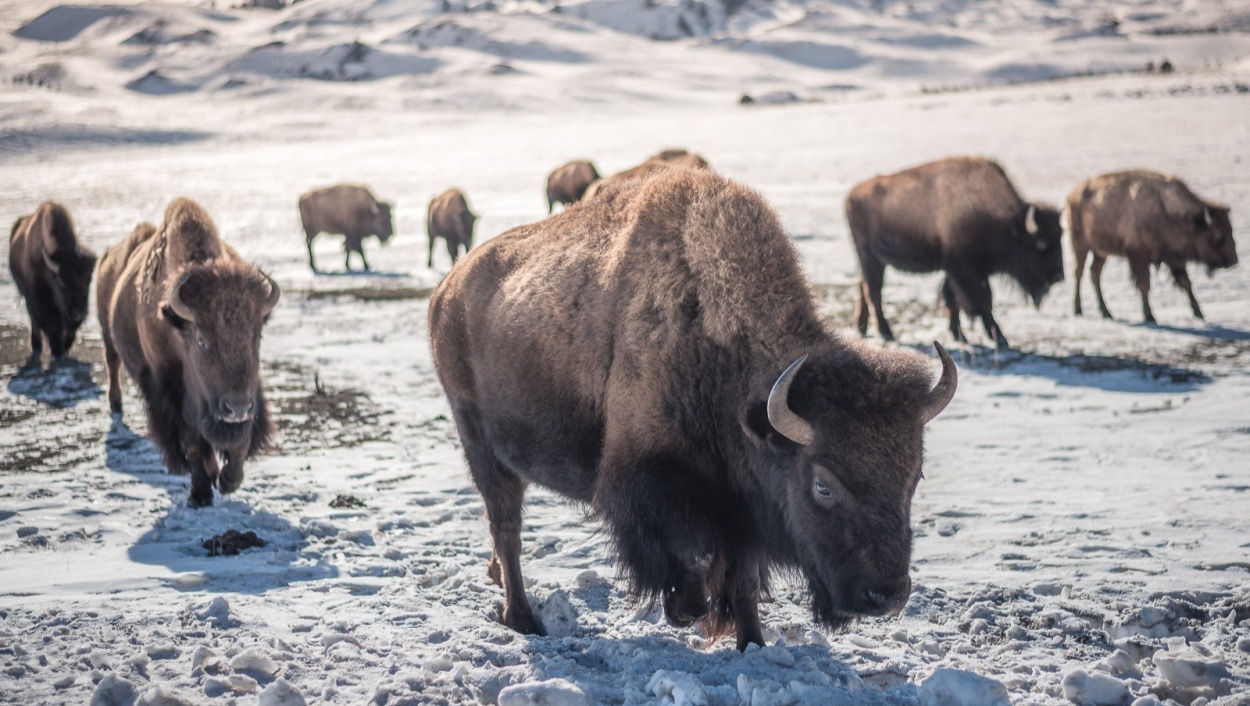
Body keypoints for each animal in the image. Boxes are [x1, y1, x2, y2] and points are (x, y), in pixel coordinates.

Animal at [8, 201, 97, 356]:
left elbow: (68, 331)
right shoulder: (39, 301)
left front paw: (65, 347)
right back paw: (36, 344)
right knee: (34, 322)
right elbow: (51, 326)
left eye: (89, 280)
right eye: (61, 282)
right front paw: (57, 349)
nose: (78, 314)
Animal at [96, 198, 280, 507]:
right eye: (201, 341)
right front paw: (200, 494)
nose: (236, 409)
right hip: (107, 335)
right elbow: (192, 442)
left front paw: (229, 481)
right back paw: (116, 404)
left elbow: (238, 442)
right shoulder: (173, 392)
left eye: (257, 338)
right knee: (112, 362)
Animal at [429, 167, 957, 650]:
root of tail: (446, 290)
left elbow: (744, 579)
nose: (886, 595)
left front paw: (750, 643)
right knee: (507, 527)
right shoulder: (649, 479)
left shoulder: (743, 505)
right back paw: (523, 620)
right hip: (479, 444)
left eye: (914, 477)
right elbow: (697, 555)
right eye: (823, 485)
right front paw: (685, 610)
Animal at [845, 156, 1065, 350]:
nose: (1058, 276)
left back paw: (862, 328)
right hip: (871, 257)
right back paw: (886, 332)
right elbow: (982, 301)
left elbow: (953, 299)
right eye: (1040, 244)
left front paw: (959, 335)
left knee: (863, 285)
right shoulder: (964, 269)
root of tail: (853, 195)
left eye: (1060, 237)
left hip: (871, 260)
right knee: (874, 291)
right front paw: (1000, 338)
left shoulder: (956, 271)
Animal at [1068, 170, 1238, 323]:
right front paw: (1150, 316)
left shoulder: (1175, 259)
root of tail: (1072, 196)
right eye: (1217, 235)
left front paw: (1199, 313)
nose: (1233, 260)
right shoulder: (1139, 257)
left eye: (1230, 229)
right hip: (1081, 247)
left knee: (1094, 273)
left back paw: (1106, 312)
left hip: (1101, 252)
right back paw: (1078, 310)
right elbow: (1145, 285)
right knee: (1079, 273)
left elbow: (1186, 283)